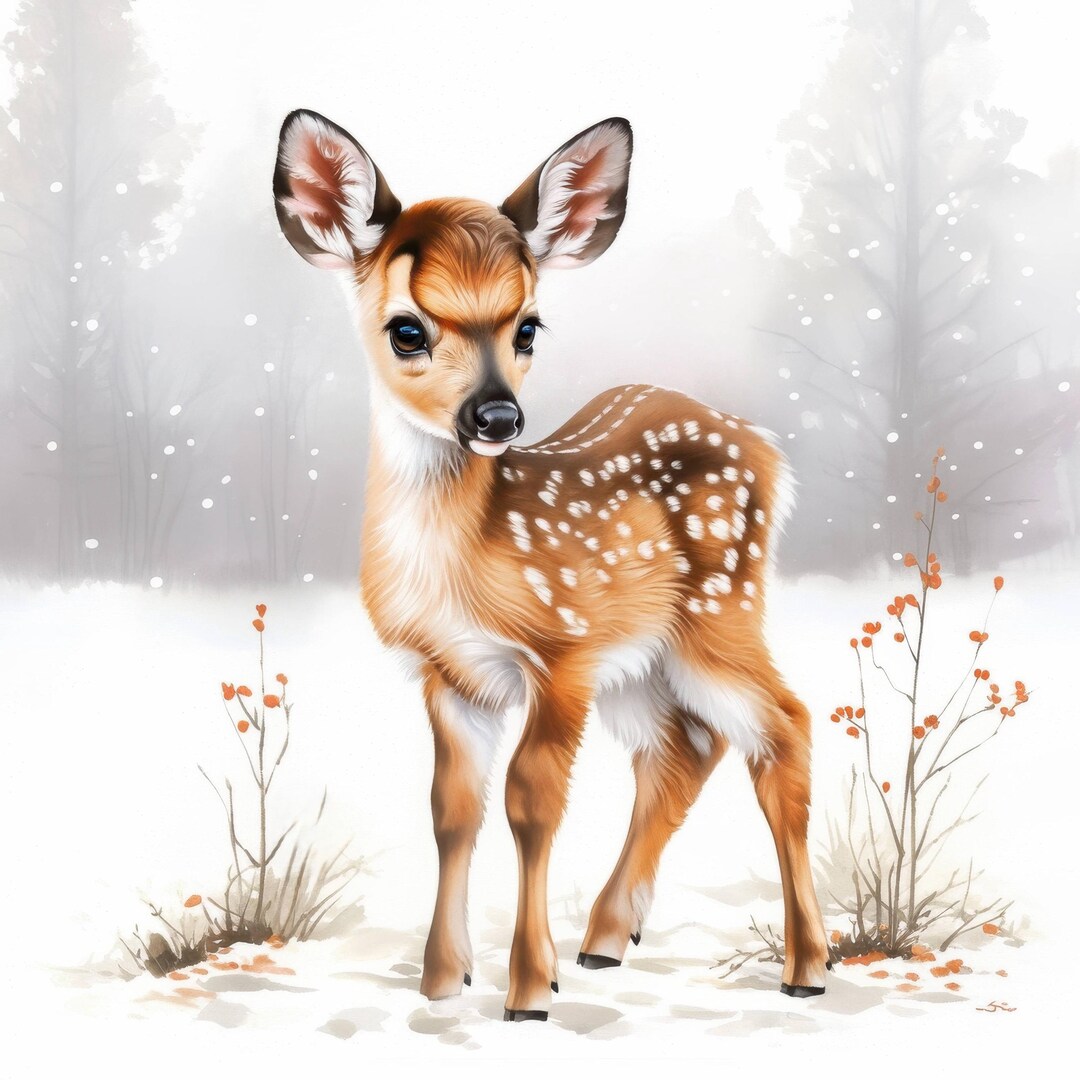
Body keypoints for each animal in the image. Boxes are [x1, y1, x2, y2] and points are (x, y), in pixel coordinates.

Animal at [273, 109, 830, 1021]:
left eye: (527, 325)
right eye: (407, 329)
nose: (498, 416)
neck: (462, 562)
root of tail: (767, 450)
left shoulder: (561, 650)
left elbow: (531, 803)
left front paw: (529, 989)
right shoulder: (449, 673)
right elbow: (452, 810)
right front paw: (442, 980)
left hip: (719, 608)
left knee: (784, 726)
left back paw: (807, 966)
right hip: (642, 652)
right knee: (685, 747)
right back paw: (606, 938)